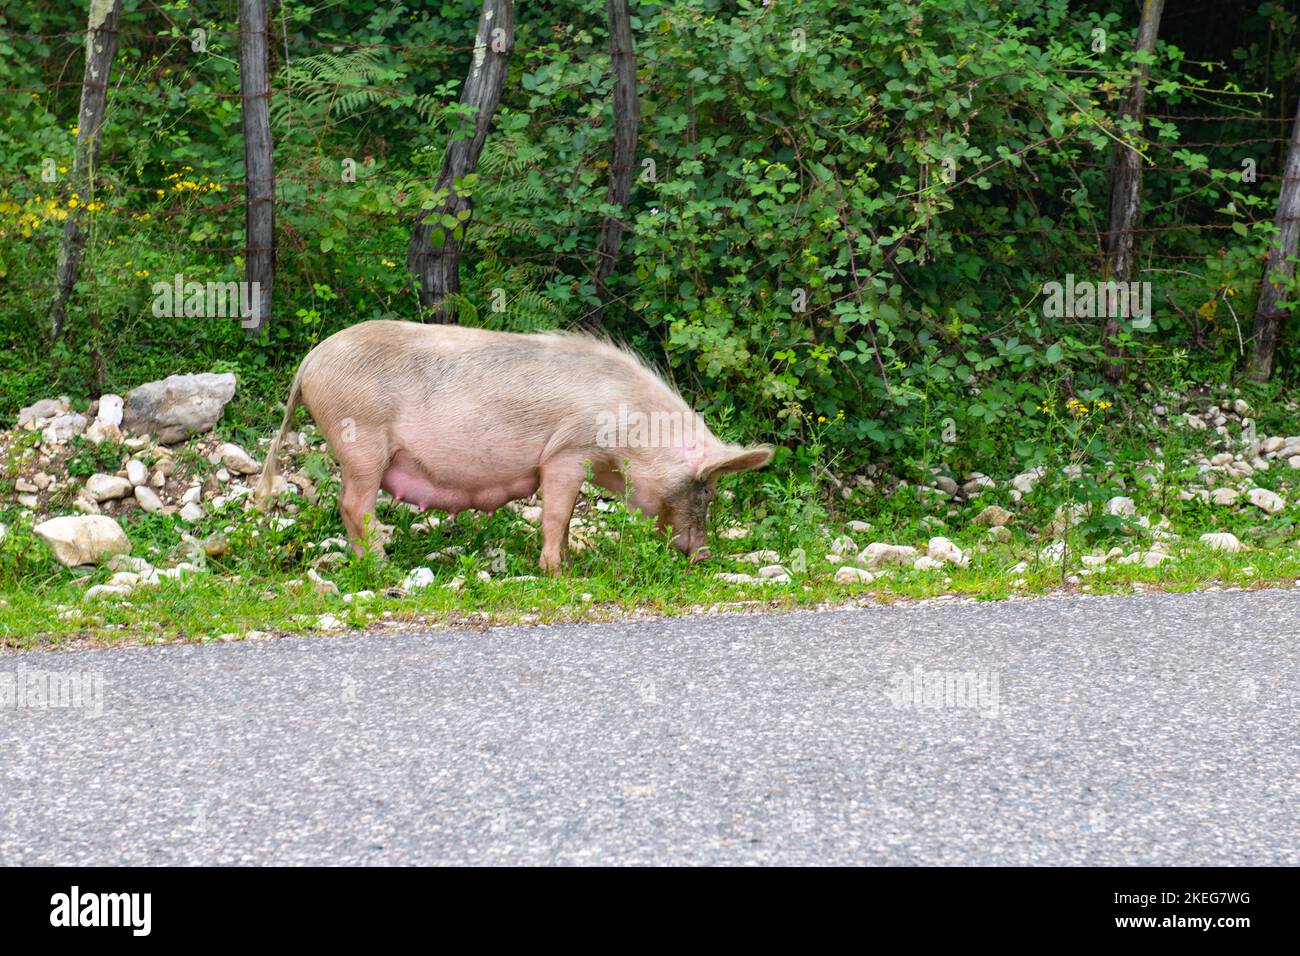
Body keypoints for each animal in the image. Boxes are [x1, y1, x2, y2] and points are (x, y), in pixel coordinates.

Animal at [253, 320, 772, 572]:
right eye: (705, 489)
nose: (703, 555)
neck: (629, 434)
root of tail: (310, 361)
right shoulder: (567, 451)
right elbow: (556, 513)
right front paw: (557, 572)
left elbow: (565, 518)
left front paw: (569, 562)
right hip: (360, 439)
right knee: (353, 504)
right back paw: (382, 568)